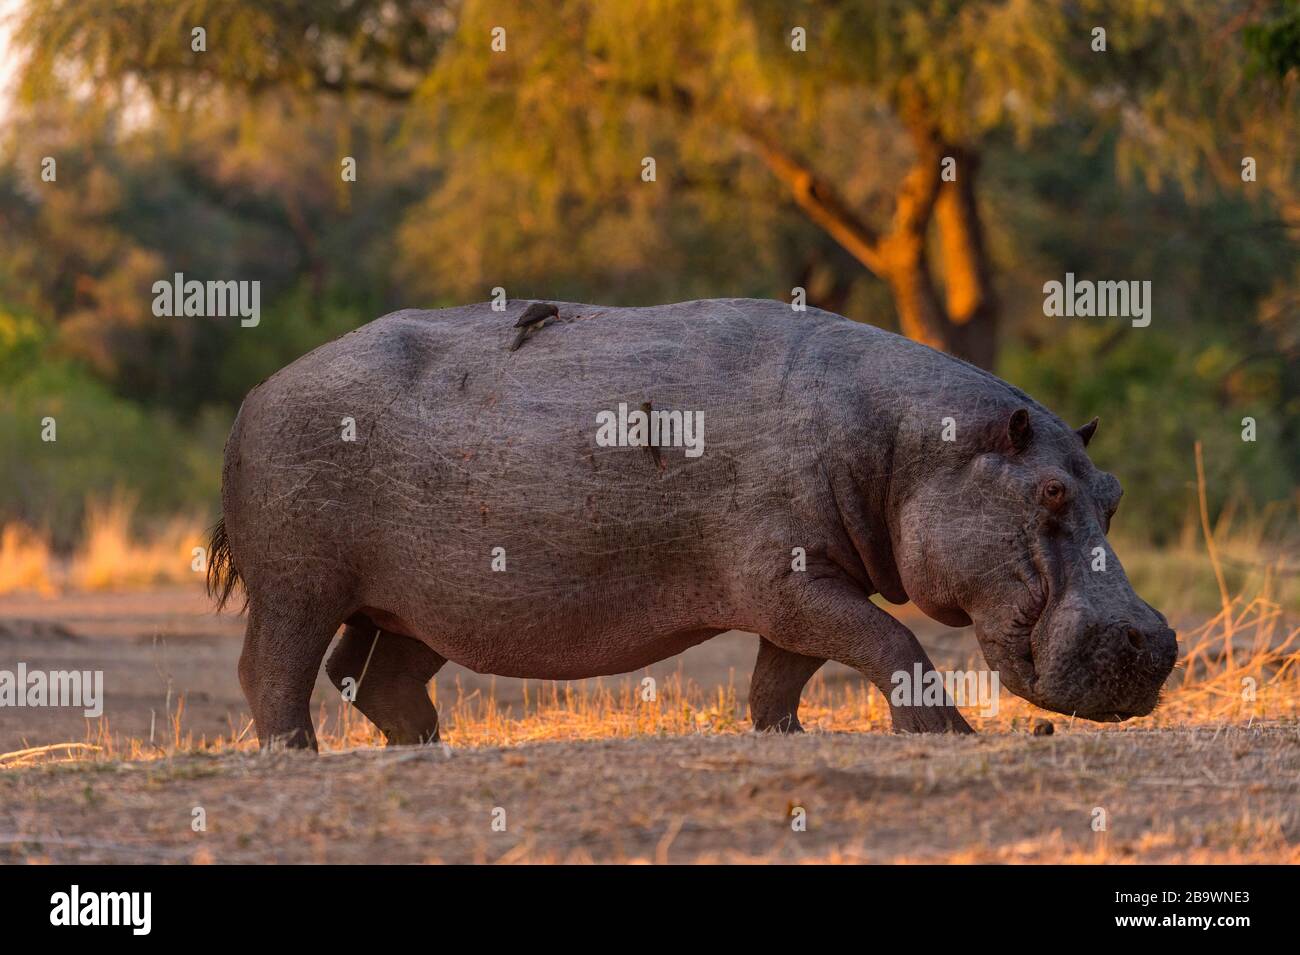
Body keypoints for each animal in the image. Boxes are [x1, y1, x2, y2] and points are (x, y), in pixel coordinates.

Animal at [207, 298, 1178, 749]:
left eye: (1115, 490)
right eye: (1049, 493)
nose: (1150, 644)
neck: (912, 447)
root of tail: (254, 392)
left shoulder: (806, 583)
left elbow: (785, 673)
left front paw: (785, 737)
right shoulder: (790, 580)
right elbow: (890, 642)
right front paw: (949, 736)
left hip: (420, 602)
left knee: (372, 677)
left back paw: (430, 748)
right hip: (302, 587)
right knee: (274, 670)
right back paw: (297, 752)